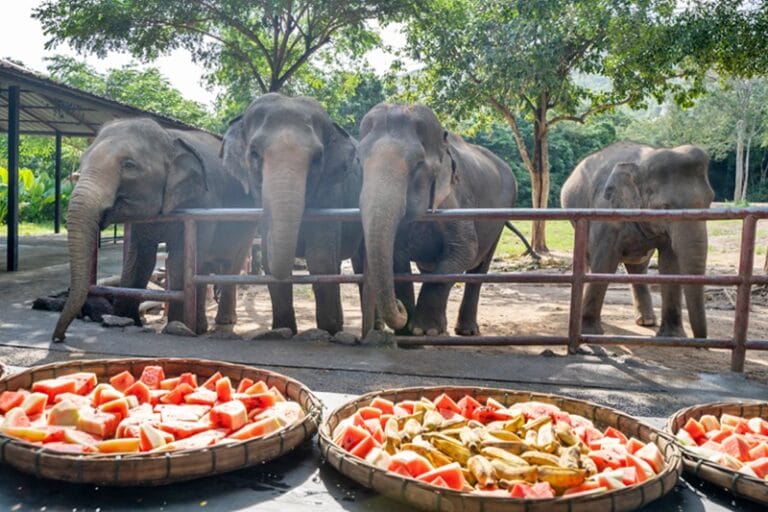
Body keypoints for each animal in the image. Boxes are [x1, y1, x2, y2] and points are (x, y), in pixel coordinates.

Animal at [52, 118, 256, 341]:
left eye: (129, 165)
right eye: (82, 162)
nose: (59, 338)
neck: (168, 136)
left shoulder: (204, 203)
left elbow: (180, 259)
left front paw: (178, 326)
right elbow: (139, 259)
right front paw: (123, 320)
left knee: (230, 264)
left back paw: (221, 322)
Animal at [221, 93, 362, 335]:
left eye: (317, 158)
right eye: (254, 153)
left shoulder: (331, 195)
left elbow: (320, 257)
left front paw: (328, 332)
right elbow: (270, 258)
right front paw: (282, 331)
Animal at [358, 103, 518, 336]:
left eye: (417, 164)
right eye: (359, 161)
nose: (399, 306)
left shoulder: (455, 200)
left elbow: (464, 249)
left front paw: (425, 331)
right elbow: (396, 256)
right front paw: (407, 331)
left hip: (500, 218)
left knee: (479, 269)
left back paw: (465, 331)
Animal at [560, 141, 714, 338]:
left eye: (709, 202)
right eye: (664, 207)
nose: (700, 339)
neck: (642, 162)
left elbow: (670, 265)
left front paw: (673, 336)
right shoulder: (606, 214)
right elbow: (604, 263)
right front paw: (590, 332)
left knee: (638, 266)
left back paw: (647, 321)